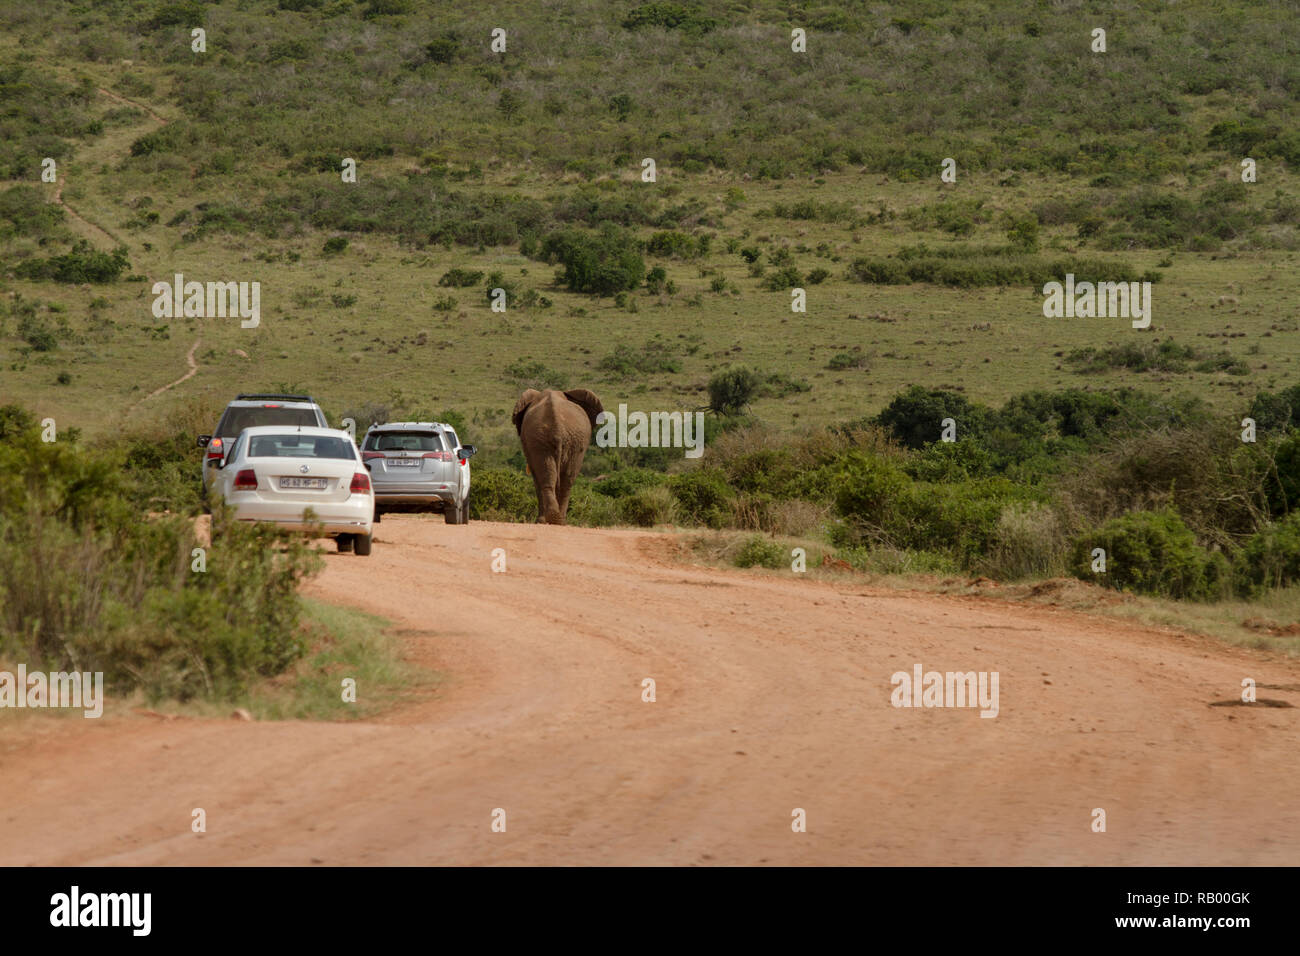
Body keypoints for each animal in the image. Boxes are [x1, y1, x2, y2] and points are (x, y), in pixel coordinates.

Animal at [512, 388, 604, 524]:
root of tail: (557, 427)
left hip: (566, 440)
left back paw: (554, 520)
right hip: (545, 440)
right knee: (562, 479)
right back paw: (556, 520)